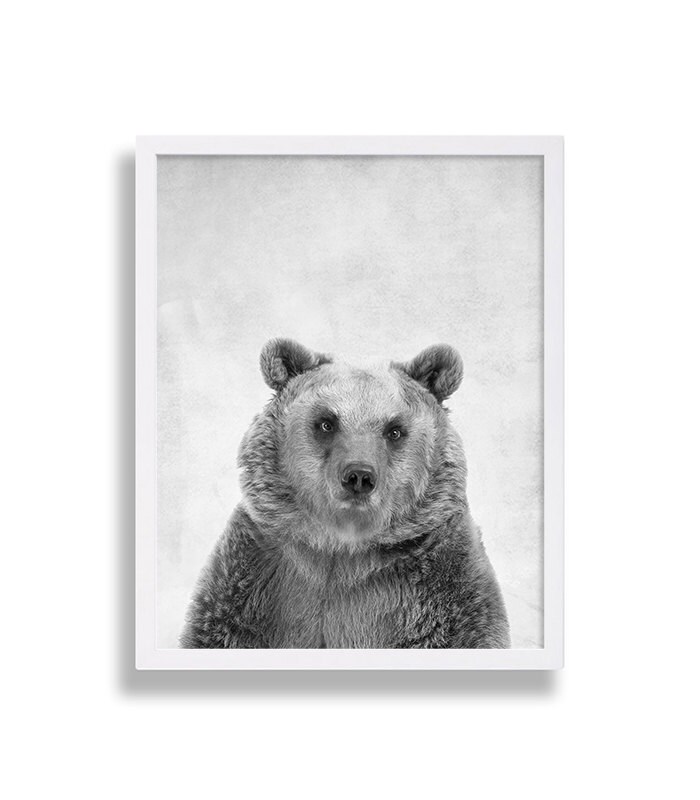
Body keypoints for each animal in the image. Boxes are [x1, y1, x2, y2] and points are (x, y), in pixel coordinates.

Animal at [180, 338, 510, 649]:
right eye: (327, 422)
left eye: (394, 430)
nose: (359, 476)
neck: (342, 547)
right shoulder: (257, 576)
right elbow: (222, 628)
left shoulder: (439, 586)